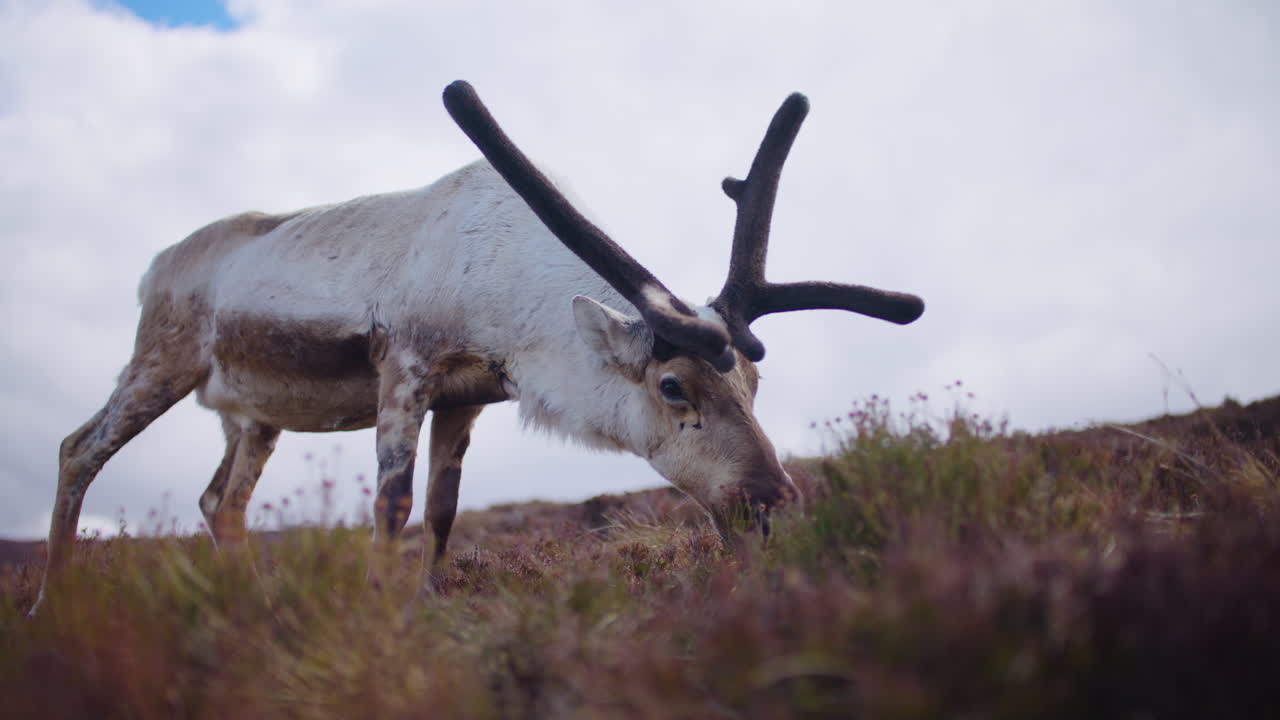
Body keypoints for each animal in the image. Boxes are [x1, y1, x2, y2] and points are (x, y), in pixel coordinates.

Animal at [34, 80, 923, 610]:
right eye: (673, 385)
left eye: (753, 383)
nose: (771, 498)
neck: (504, 296)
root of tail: (156, 264)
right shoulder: (404, 368)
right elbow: (392, 503)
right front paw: (381, 611)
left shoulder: (468, 396)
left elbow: (443, 511)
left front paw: (430, 602)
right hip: (159, 361)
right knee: (79, 449)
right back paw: (50, 601)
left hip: (254, 414)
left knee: (222, 501)